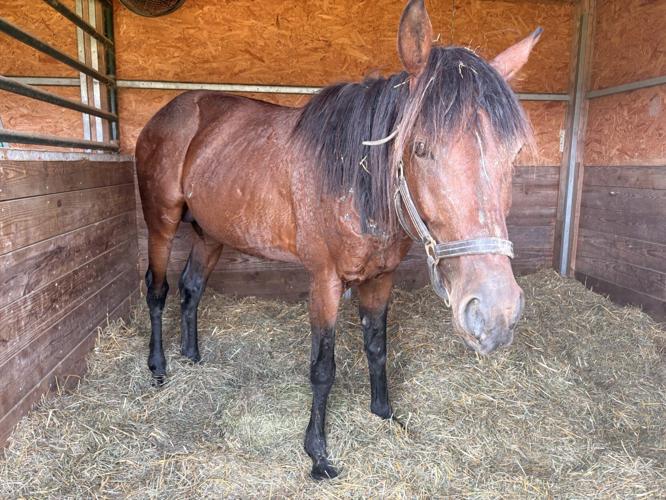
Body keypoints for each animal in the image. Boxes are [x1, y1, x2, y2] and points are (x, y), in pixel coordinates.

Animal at [136, 0, 541, 480]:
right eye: (420, 148)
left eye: (513, 154)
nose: (496, 314)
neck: (355, 183)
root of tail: (166, 113)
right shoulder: (325, 281)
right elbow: (323, 368)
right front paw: (318, 455)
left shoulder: (380, 278)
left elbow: (377, 348)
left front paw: (385, 414)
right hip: (162, 223)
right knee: (158, 290)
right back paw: (159, 368)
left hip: (210, 233)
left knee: (191, 288)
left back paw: (193, 356)